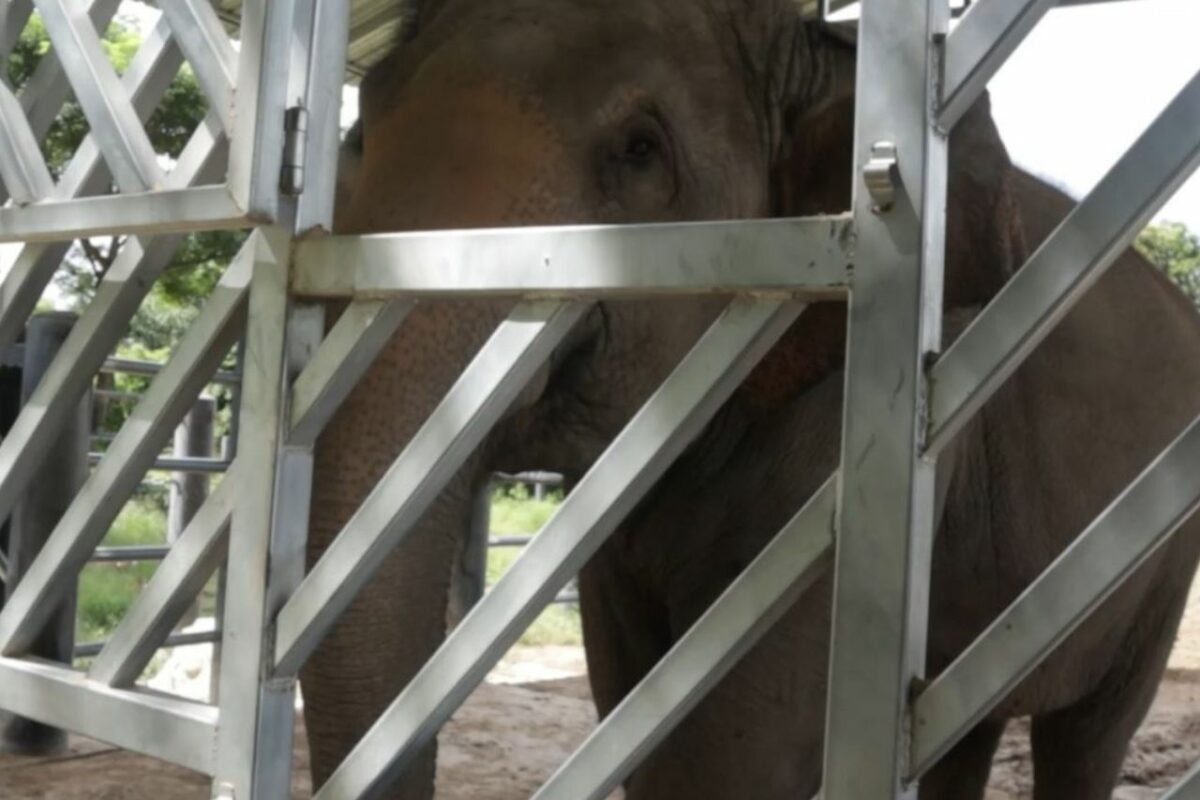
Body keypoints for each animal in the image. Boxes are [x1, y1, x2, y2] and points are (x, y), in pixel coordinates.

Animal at [306, 2, 1200, 799]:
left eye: (640, 150)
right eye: (357, 137)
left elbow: (744, 748)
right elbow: (628, 688)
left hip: (1156, 566)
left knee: (1088, 732)